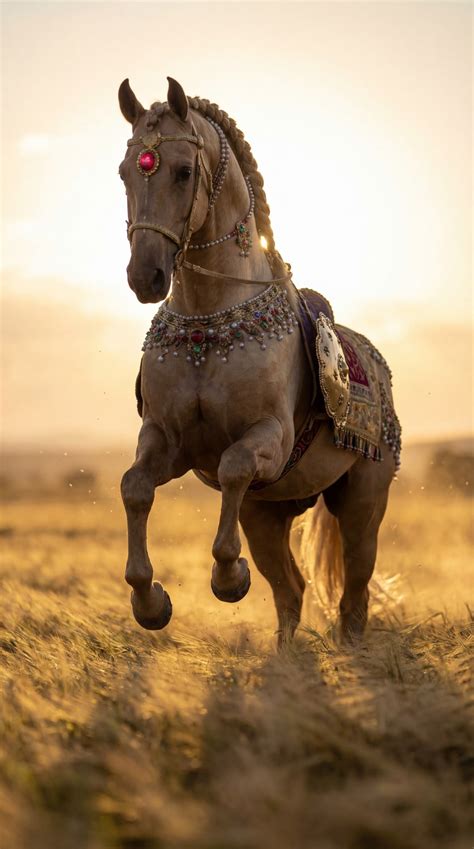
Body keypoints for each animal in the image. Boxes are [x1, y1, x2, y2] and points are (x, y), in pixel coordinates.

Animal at [118, 76, 401, 646]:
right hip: (266, 511)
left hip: (362, 501)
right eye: (124, 172)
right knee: (291, 590)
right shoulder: (168, 442)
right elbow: (134, 488)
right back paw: (286, 658)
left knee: (354, 593)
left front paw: (229, 578)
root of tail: (377, 370)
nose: (145, 276)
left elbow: (234, 466)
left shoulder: (269, 437)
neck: (209, 323)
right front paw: (150, 601)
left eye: (183, 171)